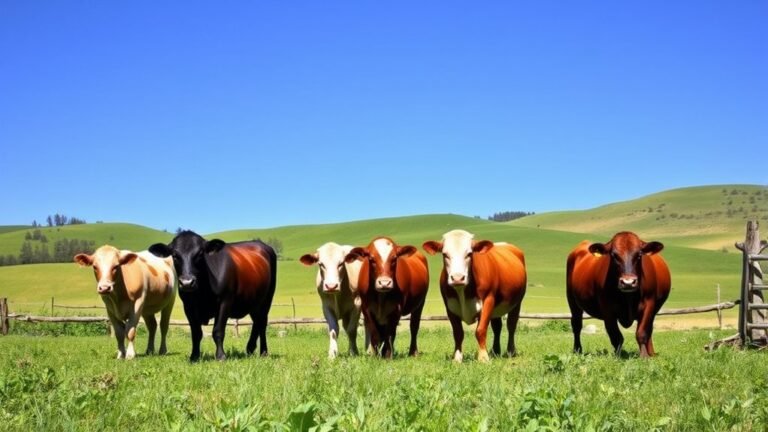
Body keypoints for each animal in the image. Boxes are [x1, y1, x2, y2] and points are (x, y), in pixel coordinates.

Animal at [148, 231, 276, 361]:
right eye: (174, 255)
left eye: (200, 253)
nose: (187, 283)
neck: (202, 294)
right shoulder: (188, 306)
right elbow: (196, 332)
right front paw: (194, 356)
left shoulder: (225, 302)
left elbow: (218, 330)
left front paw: (220, 356)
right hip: (254, 301)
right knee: (257, 321)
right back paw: (250, 348)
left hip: (267, 298)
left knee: (262, 322)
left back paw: (263, 351)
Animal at [423, 229, 527, 363]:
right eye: (445, 254)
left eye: (469, 253)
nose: (457, 278)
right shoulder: (450, 307)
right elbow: (458, 333)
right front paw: (457, 358)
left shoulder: (488, 300)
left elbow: (481, 330)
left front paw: (483, 357)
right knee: (497, 327)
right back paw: (495, 351)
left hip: (517, 302)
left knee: (511, 325)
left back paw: (510, 351)